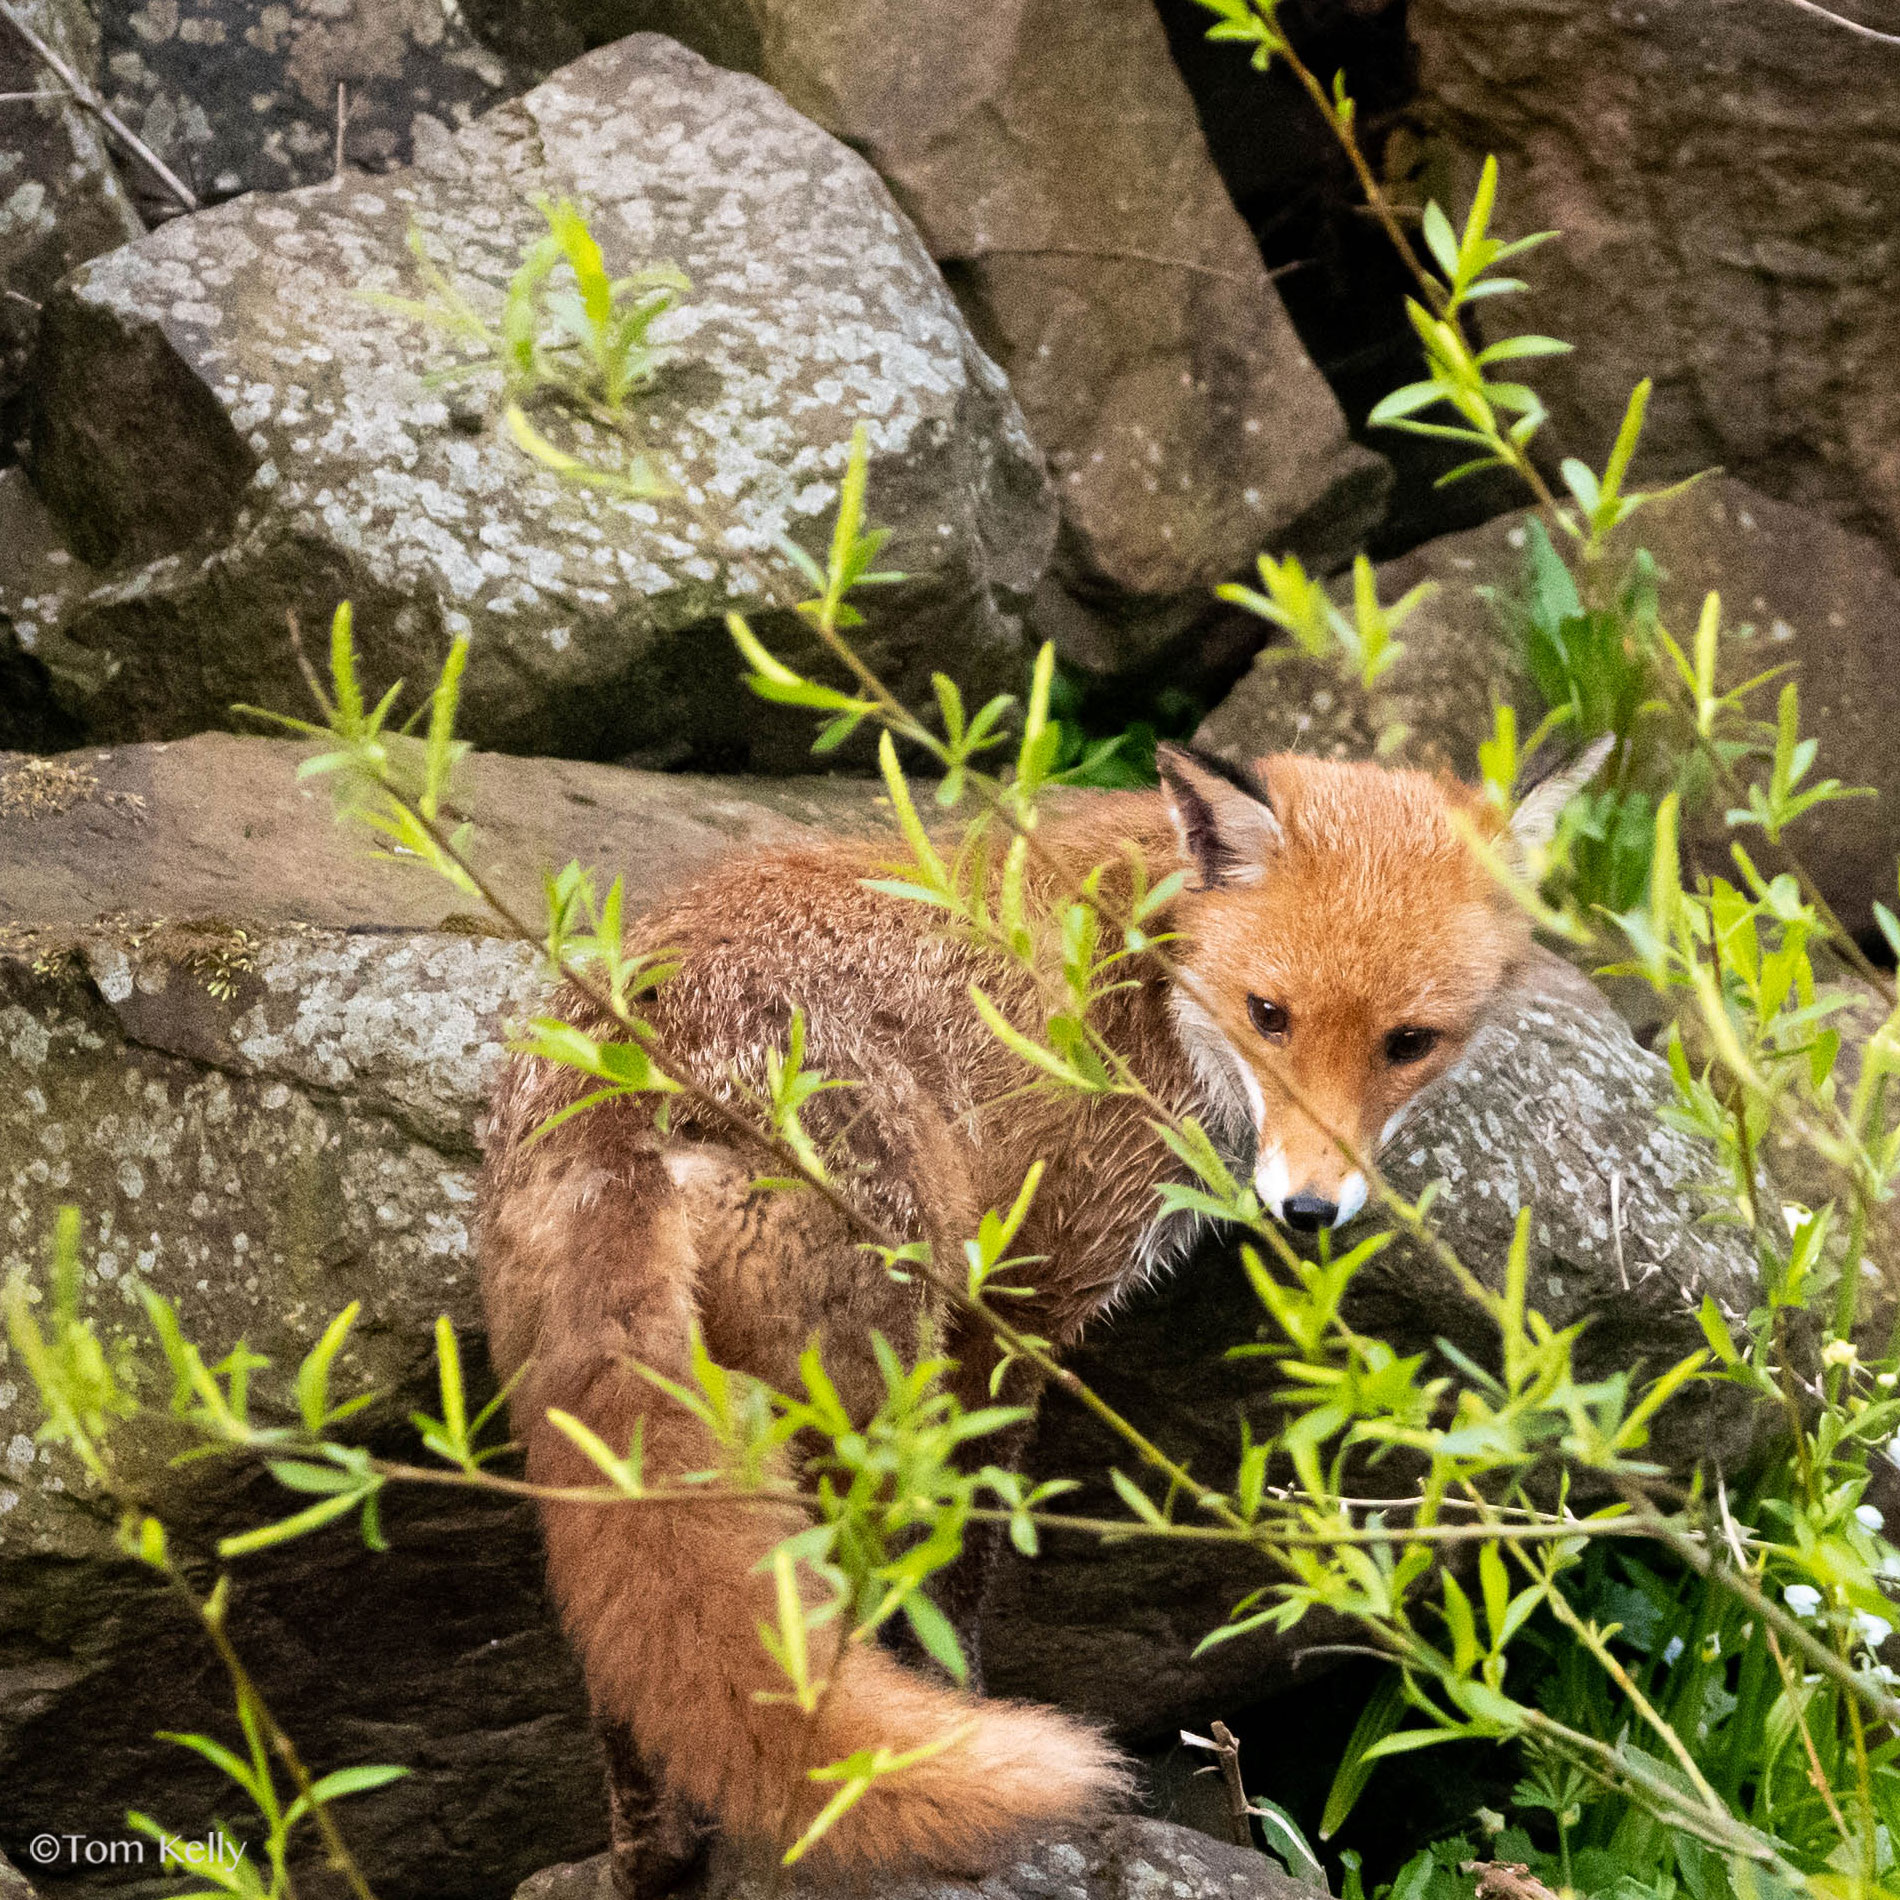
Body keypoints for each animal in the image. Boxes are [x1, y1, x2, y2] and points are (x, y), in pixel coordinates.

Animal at [477, 740, 1605, 1893]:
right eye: (1269, 1015)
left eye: (1408, 1042)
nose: (1306, 1210)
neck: (1147, 960)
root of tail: (629, 1087)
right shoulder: (1019, 1295)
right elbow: (965, 1560)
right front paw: (963, 1703)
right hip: (869, 1395)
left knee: (625, 1661)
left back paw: (651, 1862)